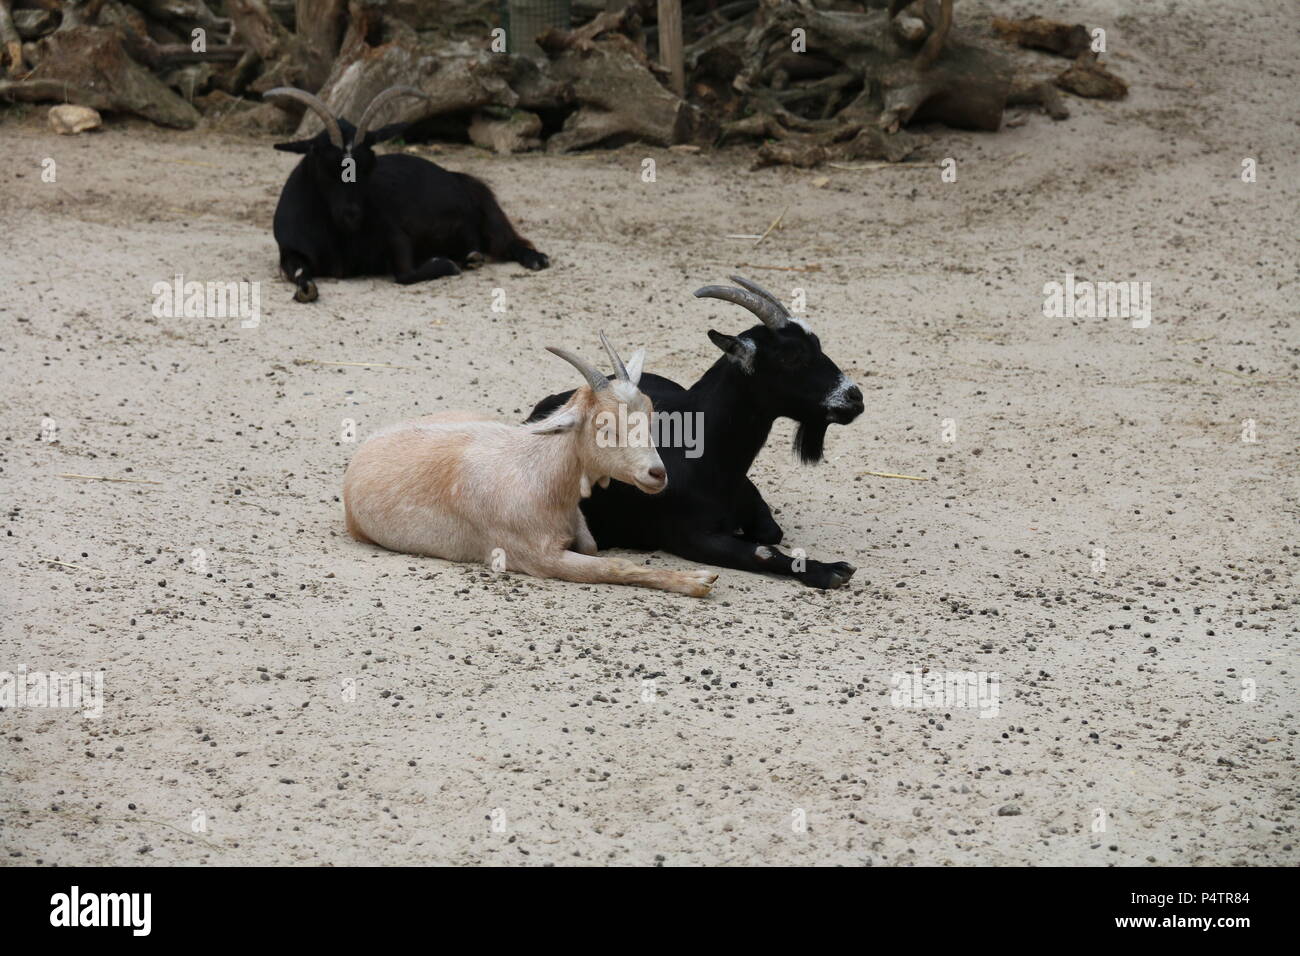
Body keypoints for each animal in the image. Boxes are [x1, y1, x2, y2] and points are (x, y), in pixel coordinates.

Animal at [268, 86, 549, 303]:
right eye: (324, 163)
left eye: (370, 163)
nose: (352, 215)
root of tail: (452, 175)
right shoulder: (289, 251)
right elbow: (302, 277)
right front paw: (305, 289)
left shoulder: (395, 234)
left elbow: (405, 274)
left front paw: (446, 264)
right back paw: (471, 257)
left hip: (485, 205)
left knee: (507, 241)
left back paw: (535, 259)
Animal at [343, 334, 719, 597]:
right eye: (604, 426)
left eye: (651, 415)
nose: (656, 474)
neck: (537, 476)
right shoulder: (538, 559)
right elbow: (614, 565)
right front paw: (699, 581)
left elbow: (593, 547)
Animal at [526, 277, 864, 589]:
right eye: (790, 356)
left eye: (816, 346)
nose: (854, 398)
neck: (704, 456)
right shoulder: (690, 536)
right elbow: (762, 552)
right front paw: (828, 570)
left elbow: (771, 532)